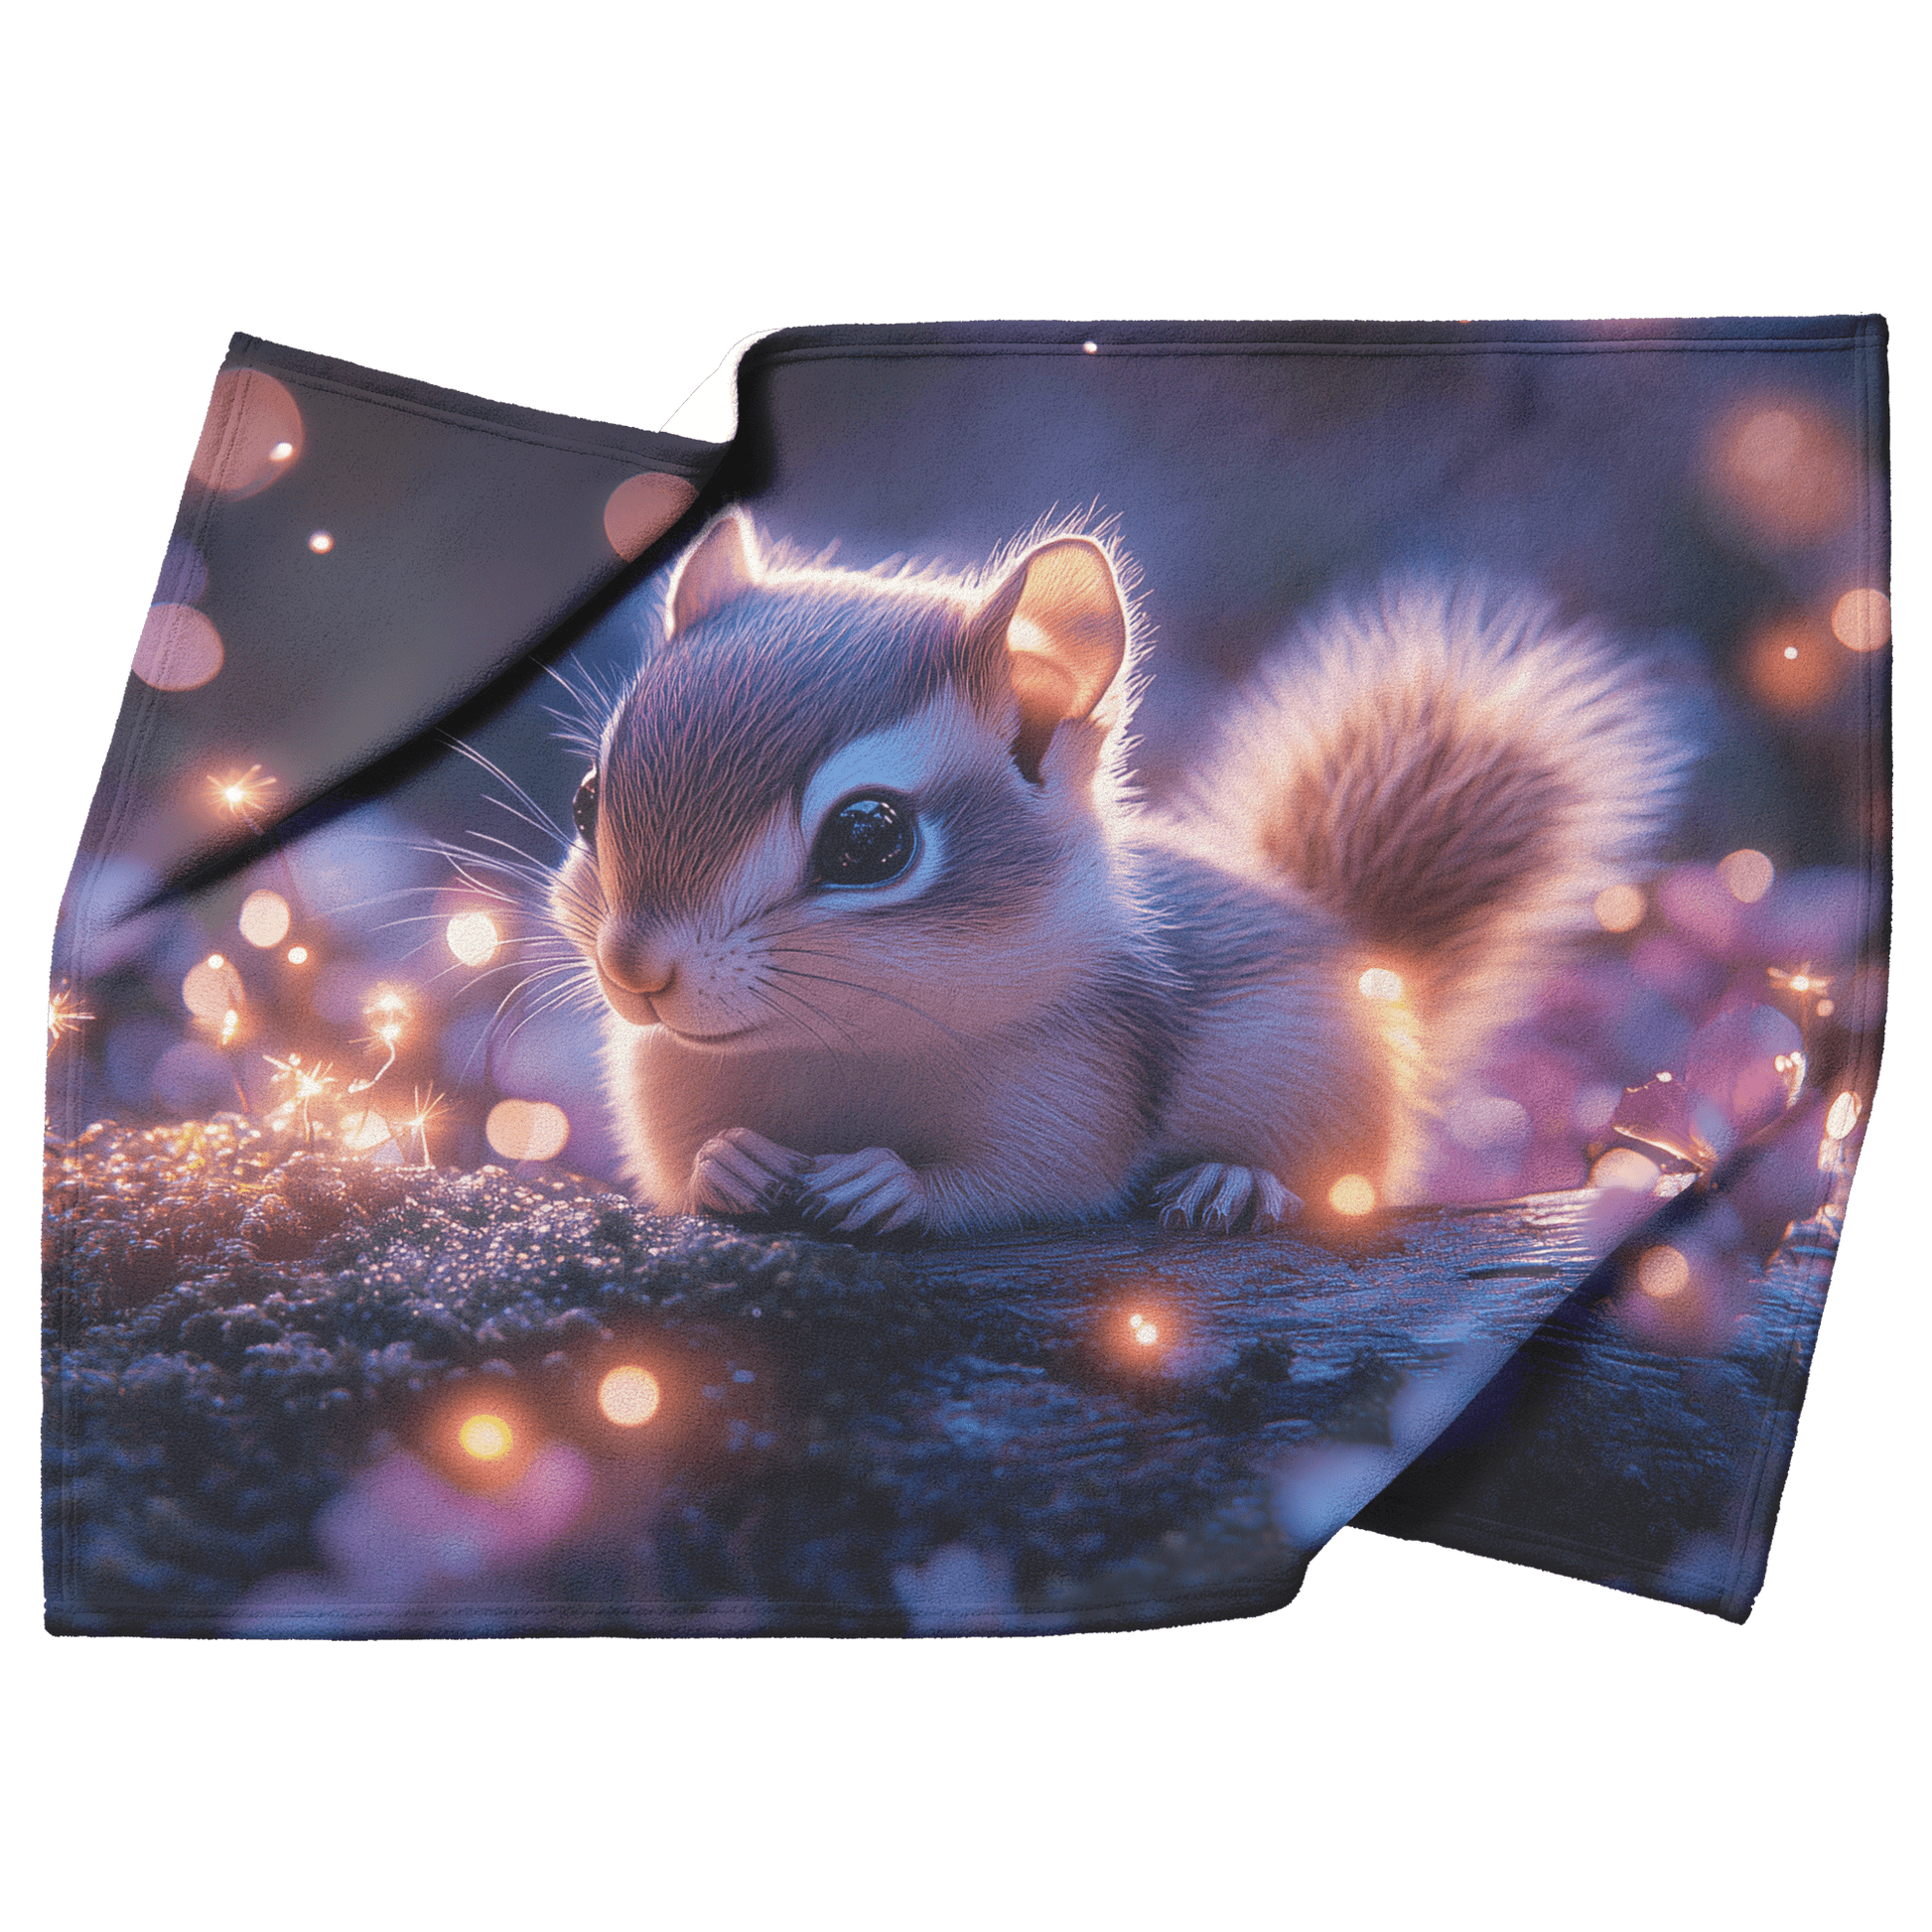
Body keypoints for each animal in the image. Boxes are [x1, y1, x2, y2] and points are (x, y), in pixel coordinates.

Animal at [549, 509, 1690, 1236]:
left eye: (868, 839)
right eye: (586, 797)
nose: (634, 970)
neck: (835, 1045)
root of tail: (1379, 968)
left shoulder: (1079, 1085)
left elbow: (1032, 1180)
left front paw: (892, 1186)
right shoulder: (657, 1088)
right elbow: (679, 1166)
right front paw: (730, 1162)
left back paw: (1233, 1182)